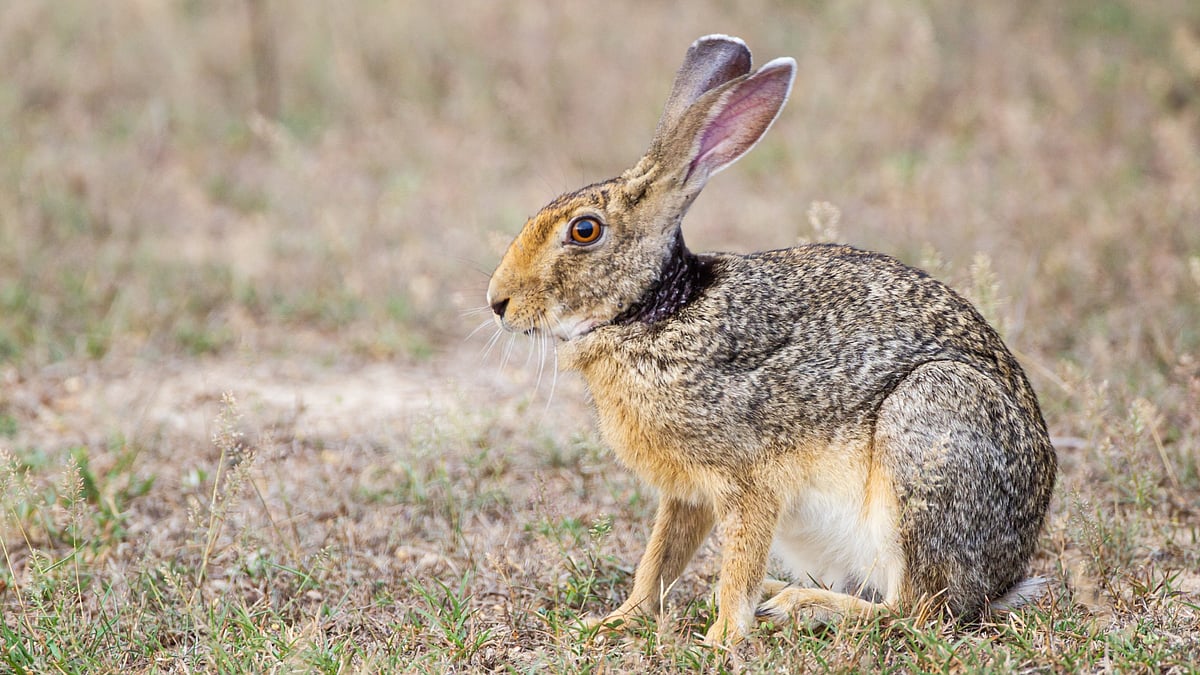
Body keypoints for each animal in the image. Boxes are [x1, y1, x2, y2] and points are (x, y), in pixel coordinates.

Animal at [486, 34, 1057, 647]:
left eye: (584, 230)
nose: (498, 301)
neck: (655, 309)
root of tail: (1005, 578)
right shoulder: (687, 494)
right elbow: (659, 559)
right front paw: (615, 621)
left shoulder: (748, 482)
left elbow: (737, 567)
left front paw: (721, 639)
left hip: (929, 435)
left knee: (918, 609)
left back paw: (799, 606)